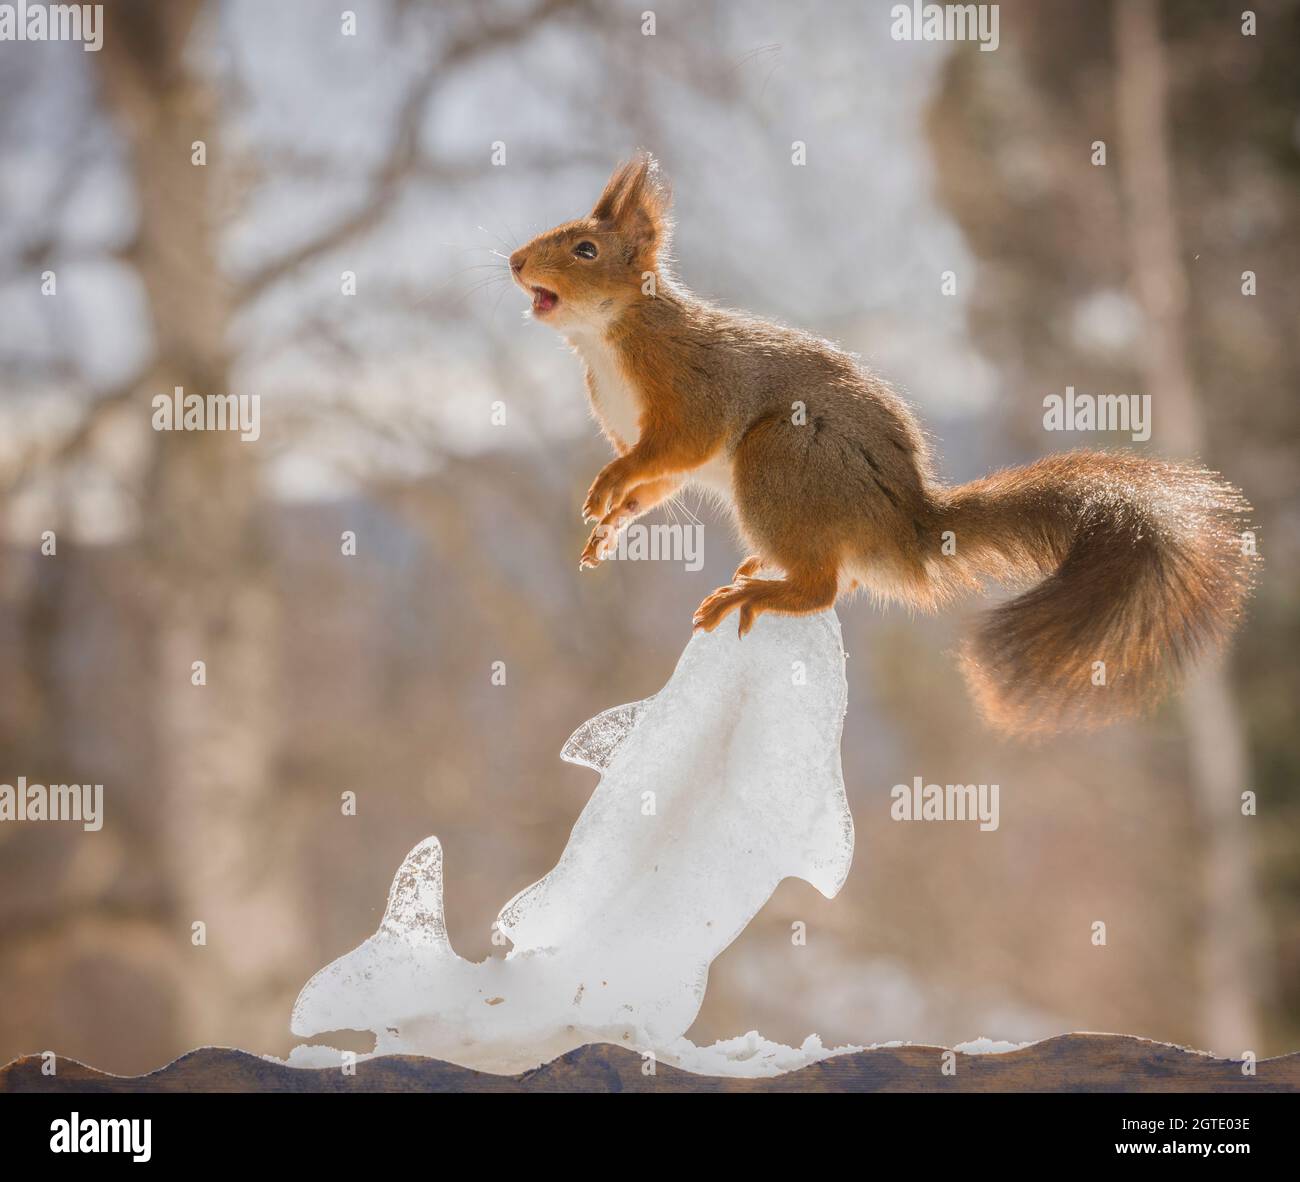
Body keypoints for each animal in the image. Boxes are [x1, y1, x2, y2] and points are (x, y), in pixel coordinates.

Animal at [508, 153, 1256, 735]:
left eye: (585, 250)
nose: (514, 261)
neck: (607, 335)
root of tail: (905, 526)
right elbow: (656, 483)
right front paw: (608, 526)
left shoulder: (692, 389)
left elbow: (674, 450)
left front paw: (608, 484)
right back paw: (758, 570)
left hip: (781, 457)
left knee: (822, 587)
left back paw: (756, 595)